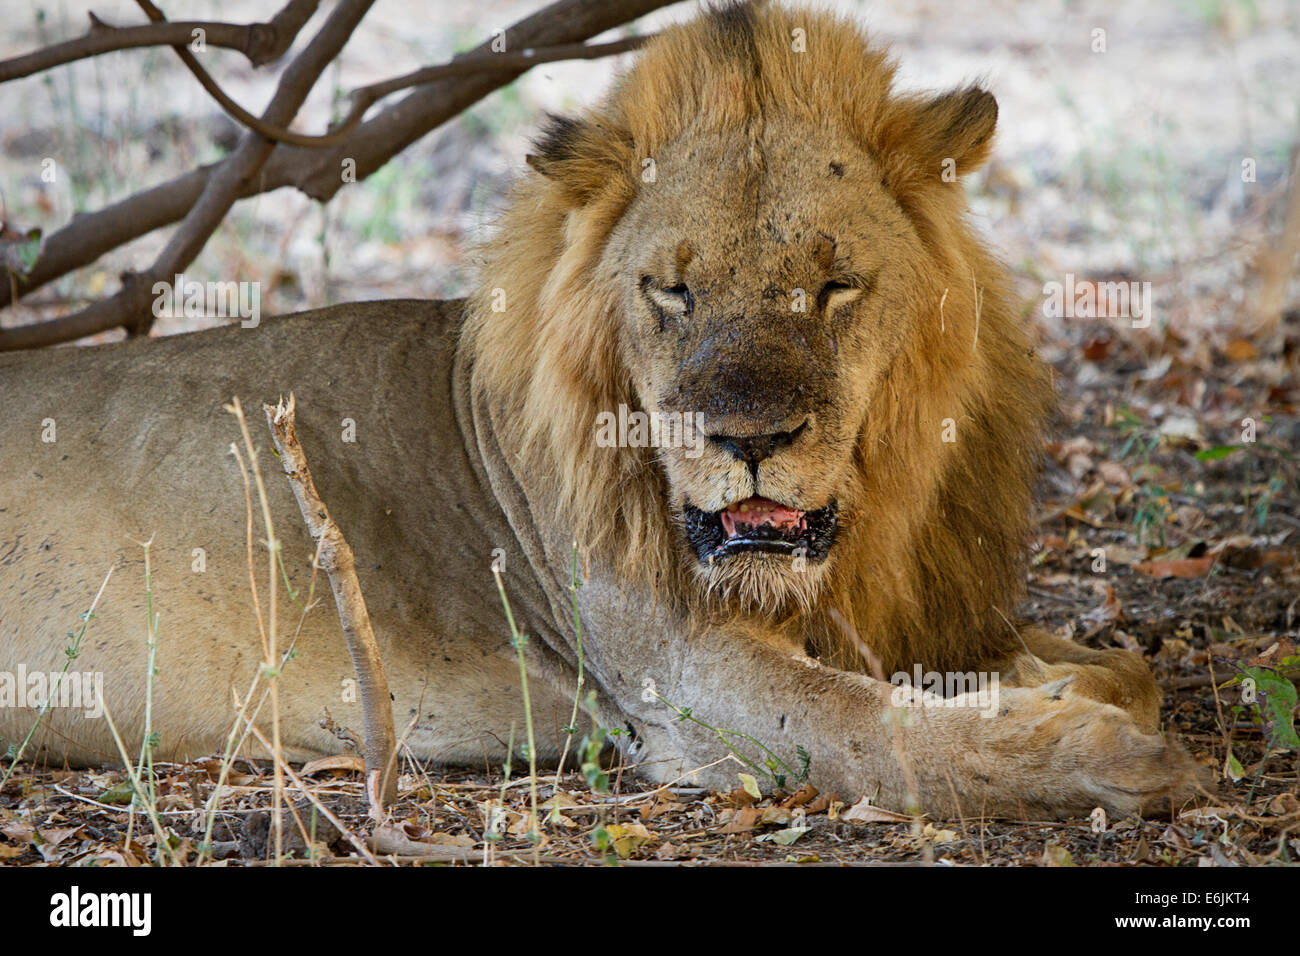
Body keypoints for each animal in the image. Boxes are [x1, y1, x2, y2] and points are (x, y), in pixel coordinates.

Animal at [0, 1, 1201, 819]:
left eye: (833, 285)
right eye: (672, 290)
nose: (750, 440)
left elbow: (1115, 664)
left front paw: (1073, 686)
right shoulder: (682, 681)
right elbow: (889, 732)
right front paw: (1104, 756)